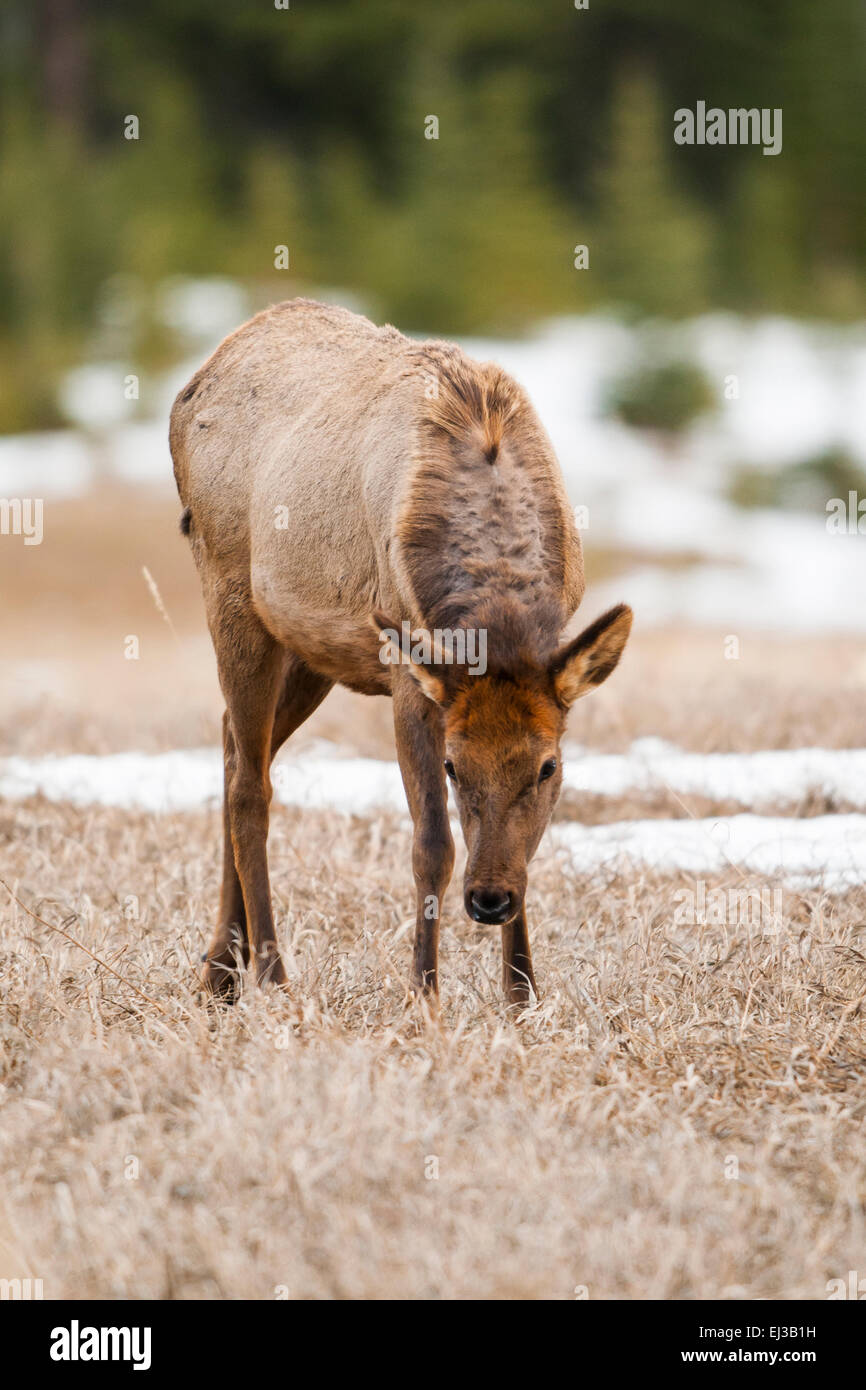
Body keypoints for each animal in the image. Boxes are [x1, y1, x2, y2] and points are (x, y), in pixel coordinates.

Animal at [170, 298, 631, 1009]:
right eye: (452, 765)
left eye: (549, 766)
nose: (490, 899)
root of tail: (191, 387)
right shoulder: (412, 680)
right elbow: (432, 844)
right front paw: (424, 994)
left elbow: (529, 848)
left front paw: (522, 994)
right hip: (229, 591)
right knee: (250, 787)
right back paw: (272, 974)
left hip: (310, 647)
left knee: (232, 747)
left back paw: (220, 970)